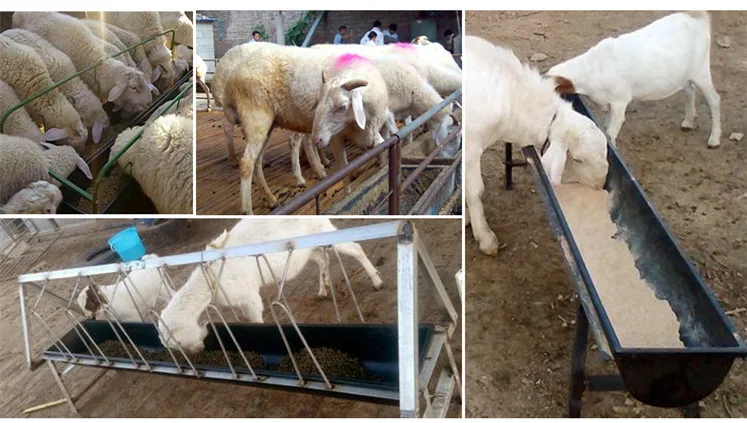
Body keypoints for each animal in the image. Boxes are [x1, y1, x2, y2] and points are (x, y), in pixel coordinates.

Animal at [158, 218, 384, 353]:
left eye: (178, 342)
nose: (198, 350)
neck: (210, 277)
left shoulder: (249, 296)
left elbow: (257, 318)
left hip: (325, 232)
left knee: (354, 248)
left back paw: (377, 281)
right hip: (308, 248)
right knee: (322, 259)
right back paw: (323, 288)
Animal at [547, 12, 721, 148]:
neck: (593, 69)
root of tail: (699, 19)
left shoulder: (620, 101)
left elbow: (610, 132)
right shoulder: (608, 104)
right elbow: (605, 128)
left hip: (701, 70)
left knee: (714, 99)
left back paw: (714, 139)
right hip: (683, 73)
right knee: (689, 90)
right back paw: (688, 122)